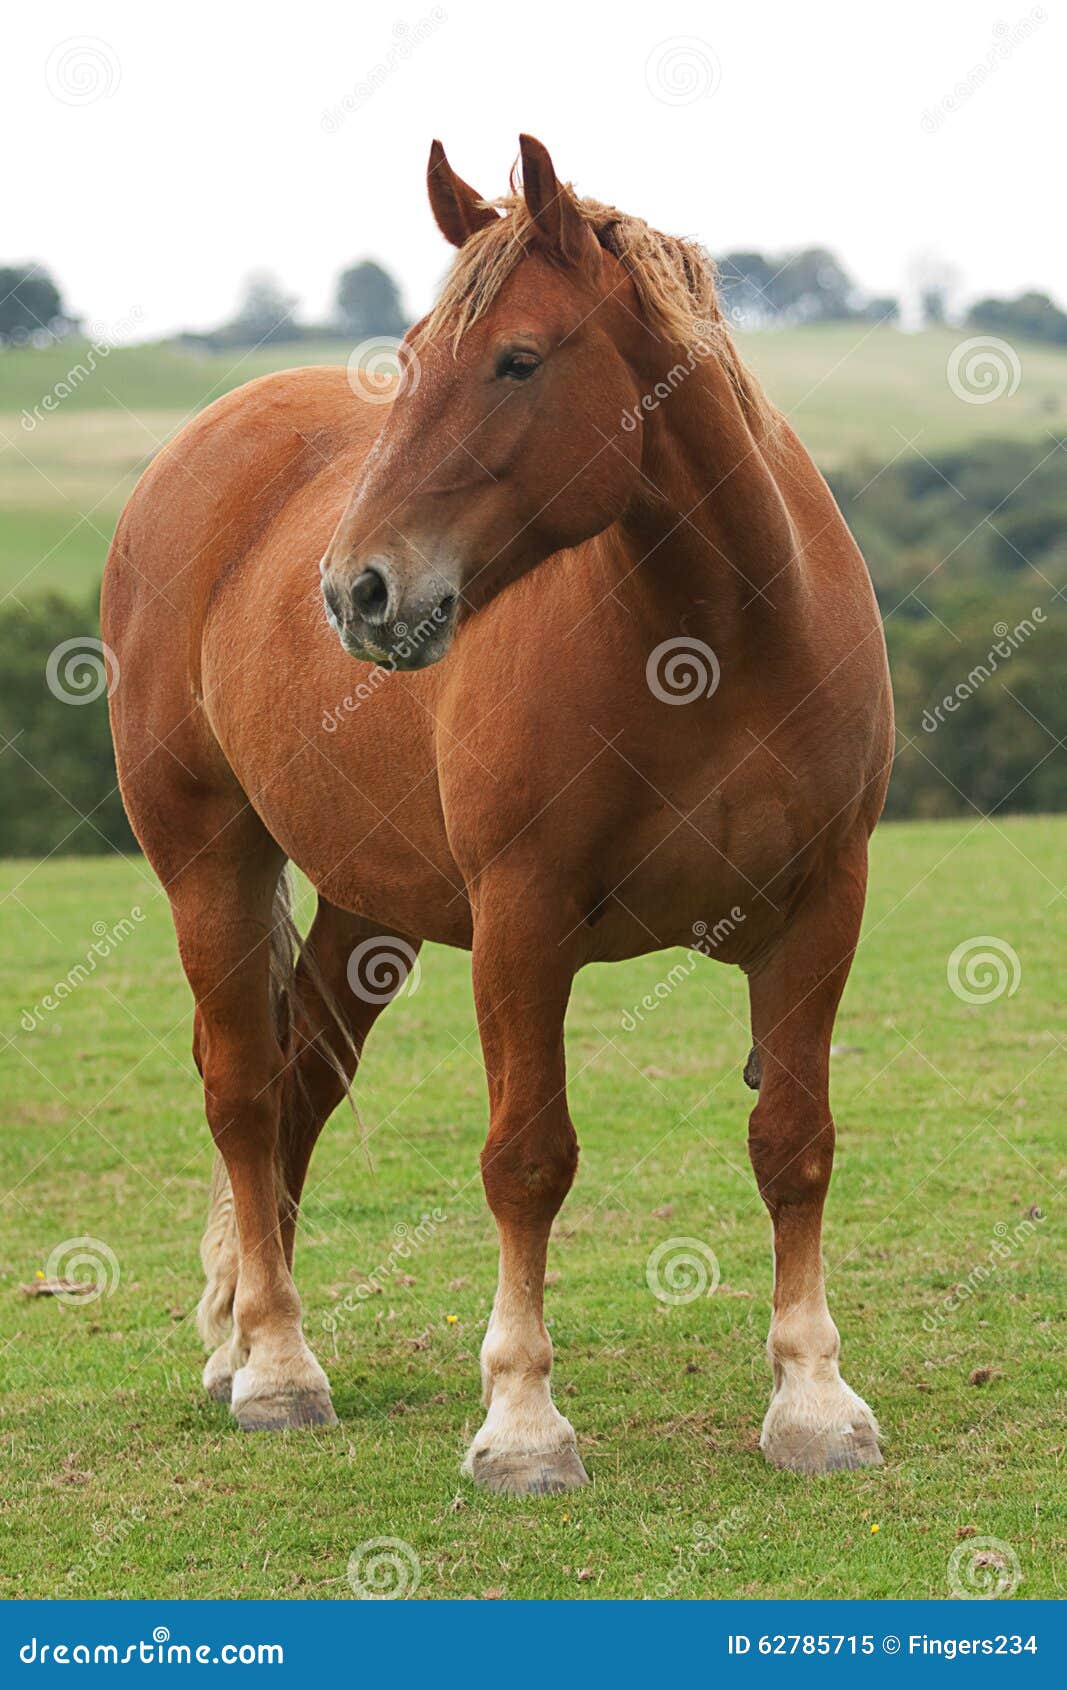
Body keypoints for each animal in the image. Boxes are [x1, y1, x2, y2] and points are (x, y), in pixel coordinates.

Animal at [101, 135, 893, 1494]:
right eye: (413, 356)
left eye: (518, 360)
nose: (355, 592)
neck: (715, 643)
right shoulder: (522, 921)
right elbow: (527, 1158)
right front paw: (522, 1425)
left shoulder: (818, 907)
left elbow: (791, 1138)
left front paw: (812, 1404)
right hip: (207, 859)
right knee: (244, 1092)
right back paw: (274, 1365)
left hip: (366, 903)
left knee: (300, 1083)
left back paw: (244, 1341)